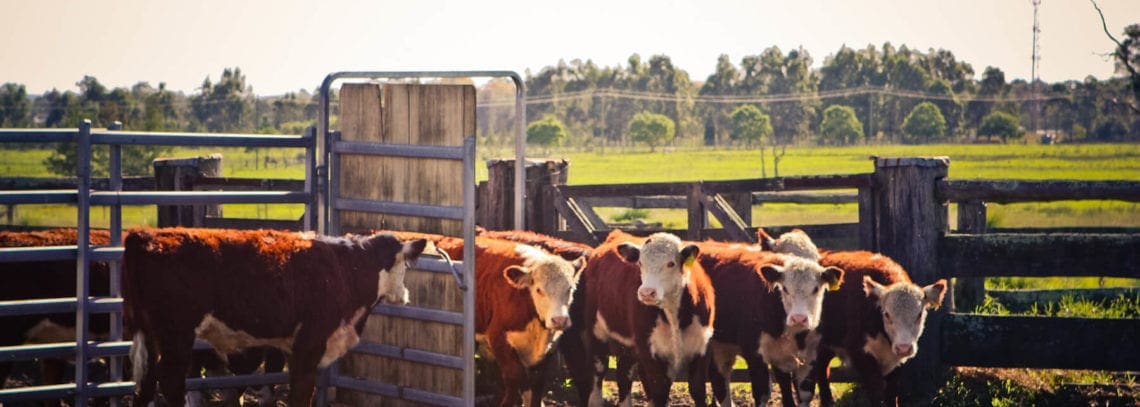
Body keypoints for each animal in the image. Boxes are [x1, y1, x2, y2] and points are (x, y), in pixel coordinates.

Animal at [123, 227, 427, 407]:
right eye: (403, 265)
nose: (405, 295)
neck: (345, 267)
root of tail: (145, 236)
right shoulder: (310, 344)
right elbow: (302, 393)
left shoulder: (291, 349)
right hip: (176, 334)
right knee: (170, 380)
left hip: (150, 333)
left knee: (146, 383)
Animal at [473, 237, 585, 406]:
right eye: (539, 290)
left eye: (570, 289)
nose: (560, 320)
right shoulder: (498, 337)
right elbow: (514, 378)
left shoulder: (547, 353)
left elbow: (535, 385)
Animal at [562, 230, 715, 407]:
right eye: (640, 263)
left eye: (671, 263)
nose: (646, 292)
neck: (674, 315)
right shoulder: (649, 351)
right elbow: (659, 391)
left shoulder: (702, 349)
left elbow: (697, 389)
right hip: (597, 335)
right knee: (599, 371)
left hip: (628, 346)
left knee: (624, 375)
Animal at [696, 241, 843, 407]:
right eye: (784, 288)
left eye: (816, 289)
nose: (799, 318)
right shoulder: (754, 354)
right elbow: (762, 393)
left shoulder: (808, 356)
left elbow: (804, 393)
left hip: (722, 345)